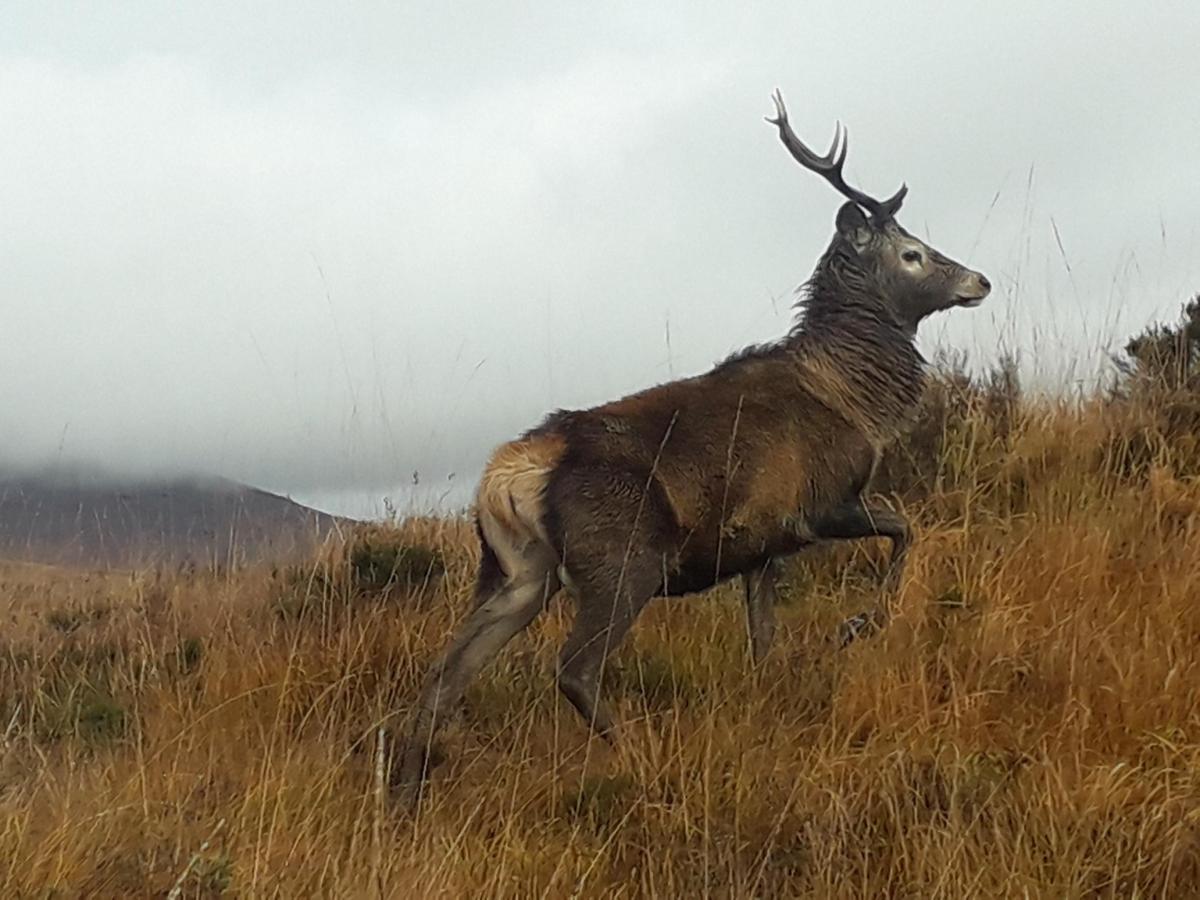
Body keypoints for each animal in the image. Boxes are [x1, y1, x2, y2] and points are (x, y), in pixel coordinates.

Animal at [396, 90, 990, 802]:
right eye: (912, 253)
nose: (980, 281)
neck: (854, 398)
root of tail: (507, 477)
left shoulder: (765, 545)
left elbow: (765, 643)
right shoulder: (822, 503)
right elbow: (907, 530)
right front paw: (853, 628)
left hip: (514, 572)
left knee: (446, 672)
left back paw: (406, 788)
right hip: (622, 560)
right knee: (573, 668)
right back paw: (635, 754)